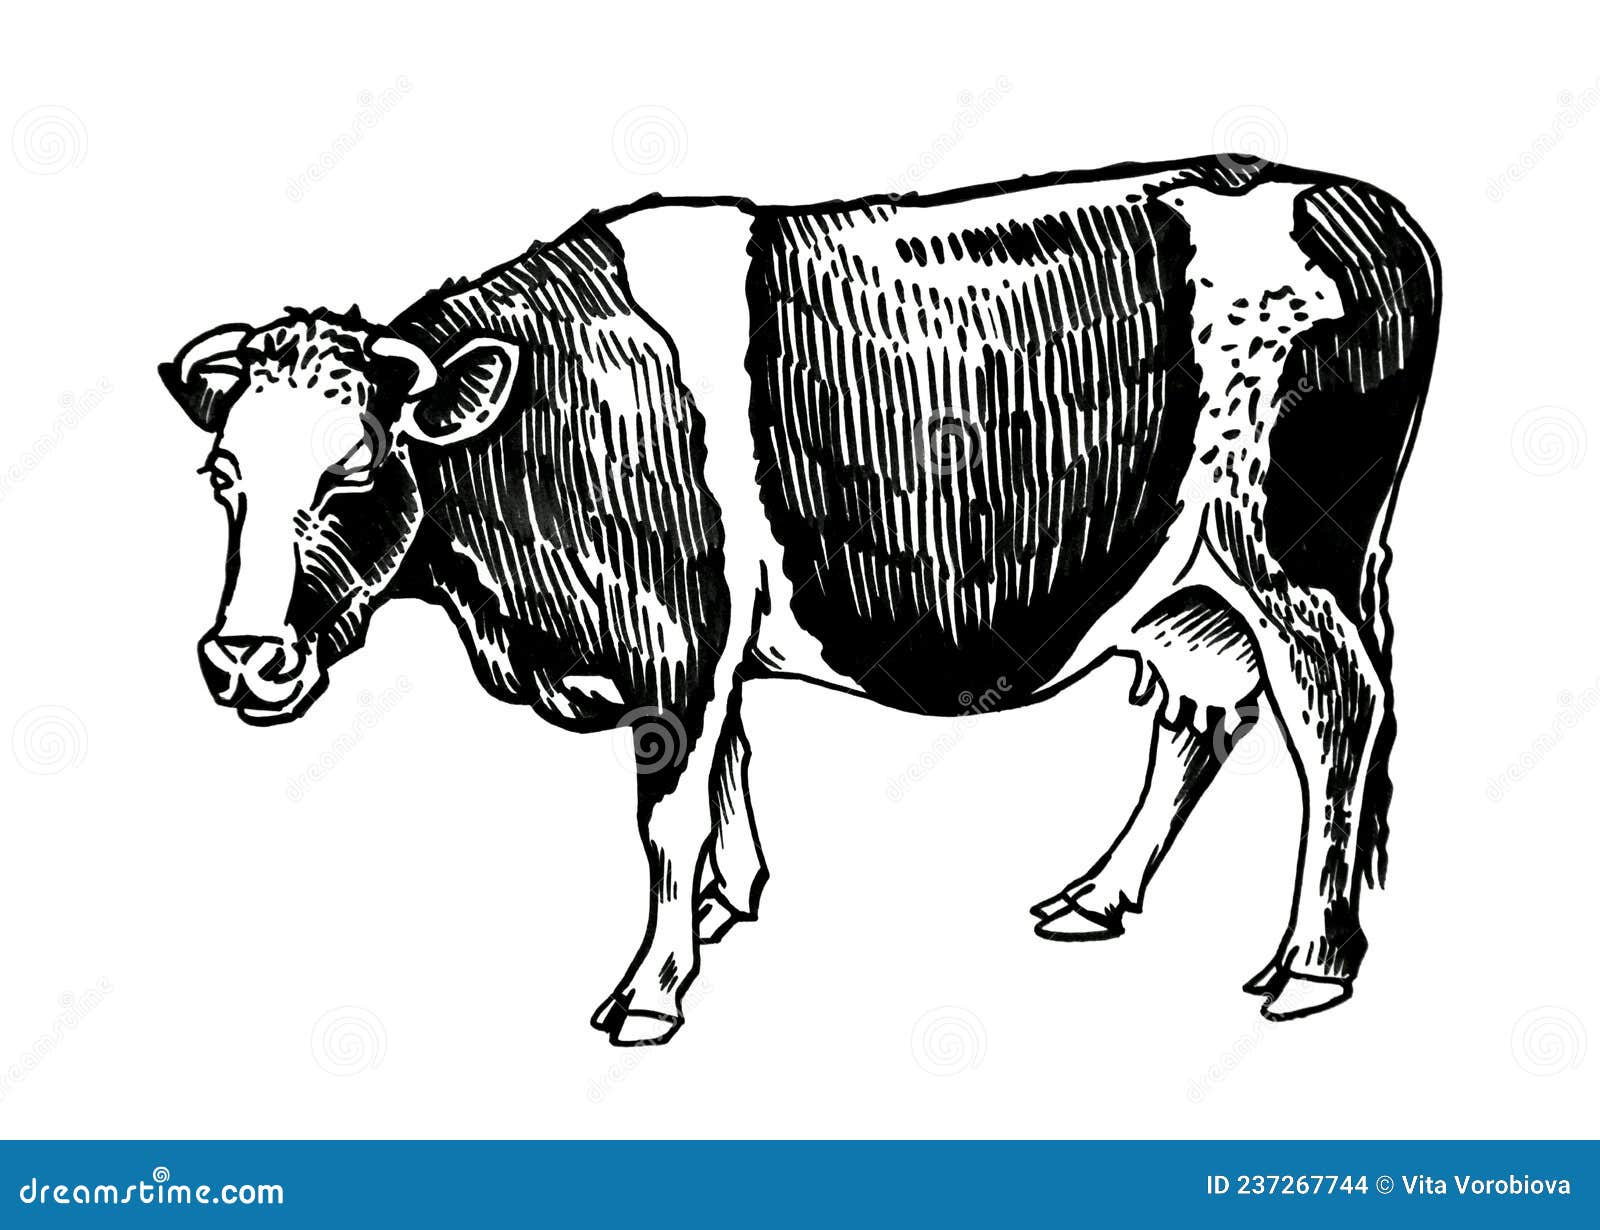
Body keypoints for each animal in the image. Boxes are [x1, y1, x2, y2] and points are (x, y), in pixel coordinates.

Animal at [161, 155, 1440, 1045]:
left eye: (355, 472)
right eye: (223, 476)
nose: (242, 657)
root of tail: (1347, 199)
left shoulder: (677, 636)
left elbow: (666, 817)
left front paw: (651, 990)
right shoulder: (711, 648)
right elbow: (725, 775)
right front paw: (726, 906)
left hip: (1293, 567)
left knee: (1337, 726)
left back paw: (1310, 966)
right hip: (1190, 591)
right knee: (1202, 724)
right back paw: (1098, 895)